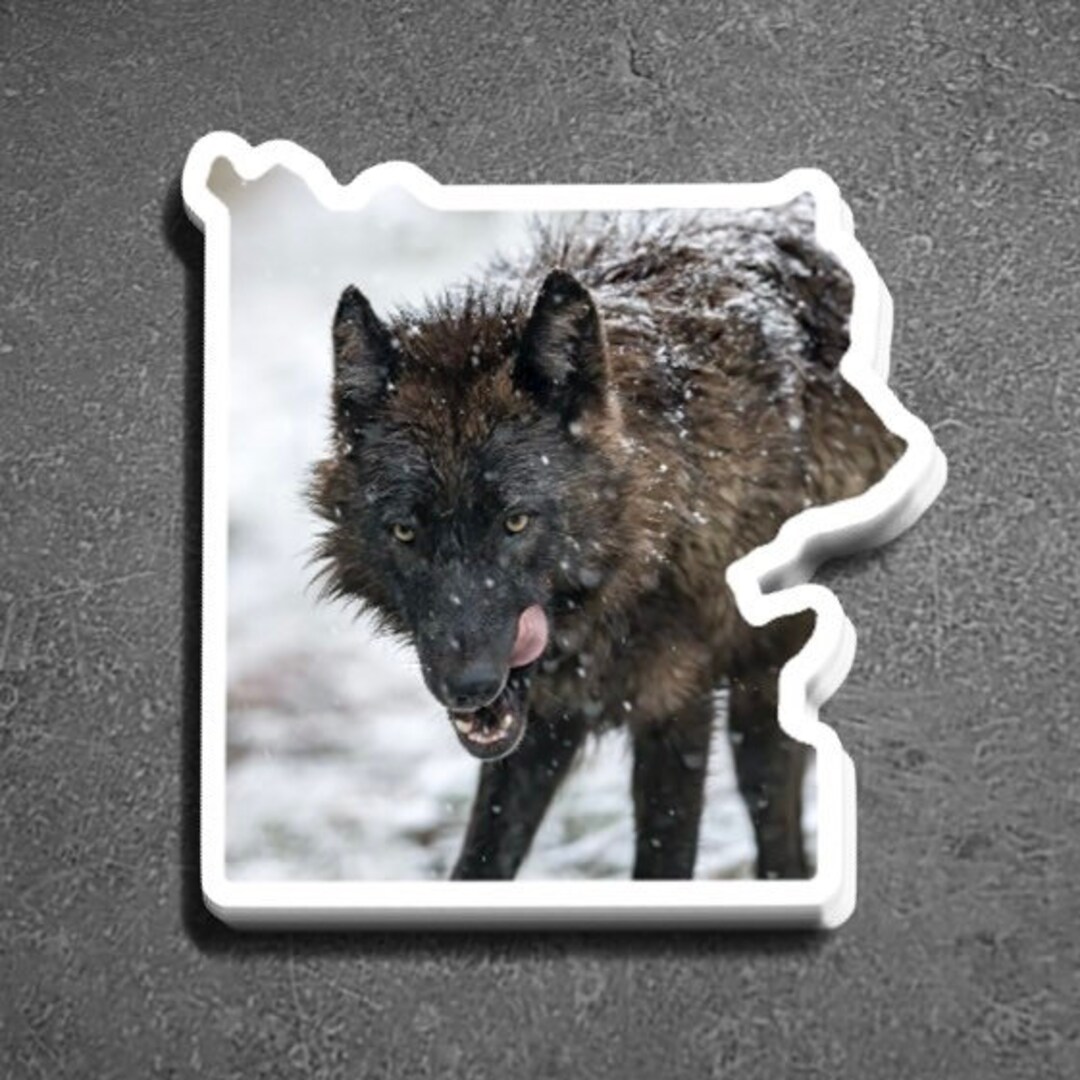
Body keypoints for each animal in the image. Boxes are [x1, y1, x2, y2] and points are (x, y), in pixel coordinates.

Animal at [309, 200, 904, 880]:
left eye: (516, 522)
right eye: (405, 531)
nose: (469, 685)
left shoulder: (681, 706)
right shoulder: (544, 720)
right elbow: (479, 862)